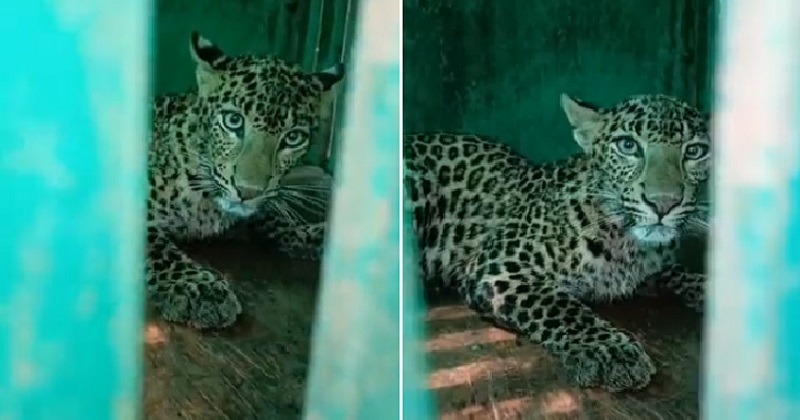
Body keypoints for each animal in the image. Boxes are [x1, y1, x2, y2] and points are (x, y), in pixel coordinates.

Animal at [147, 32, 344, 330]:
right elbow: (157, 248)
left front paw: (316, 235)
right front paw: (199, 290)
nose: (248, 191)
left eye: (293, 137)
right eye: (233, 121)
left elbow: (274, 220)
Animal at [404, 93, 711, 392]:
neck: (628, 243)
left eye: (695, 151)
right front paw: (610, 350)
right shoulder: (498, 266)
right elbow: (560, 305)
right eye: (628, 146)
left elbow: (676, 273)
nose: (664, 203)